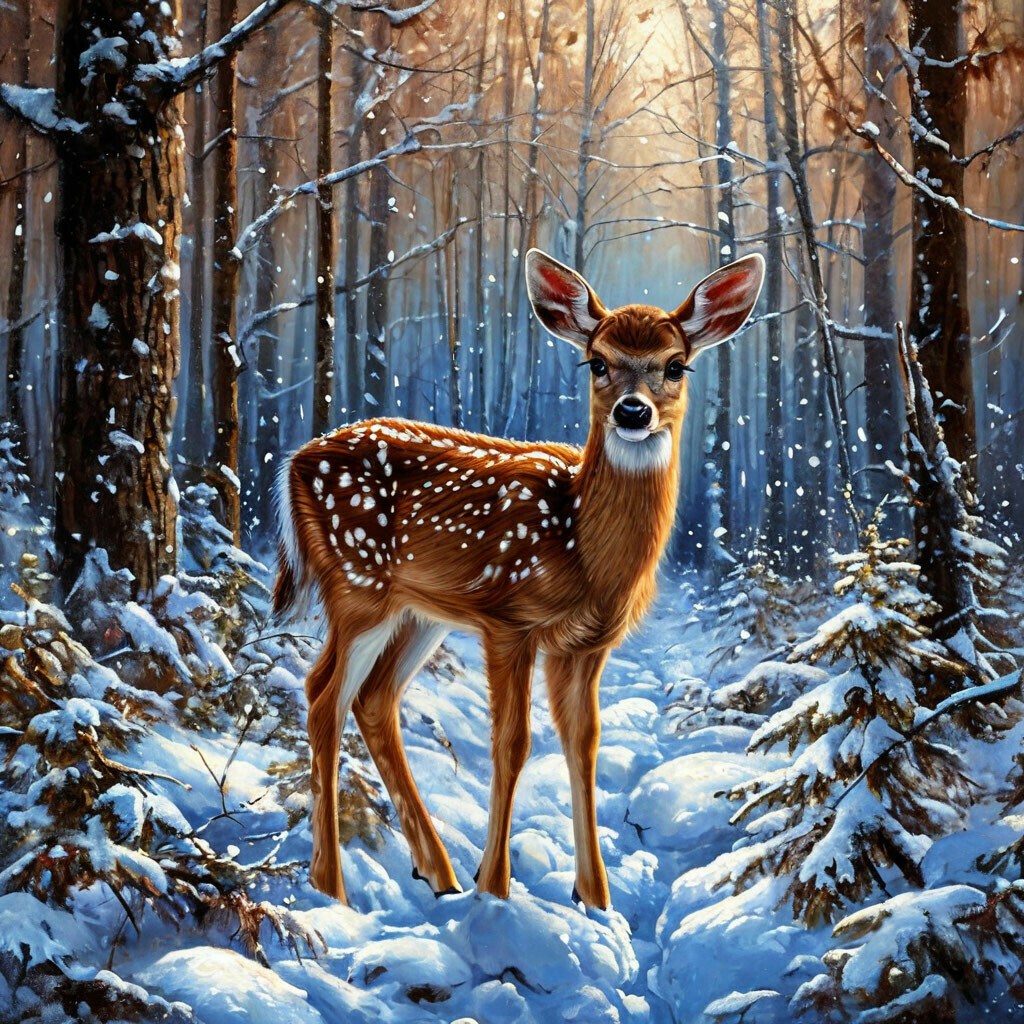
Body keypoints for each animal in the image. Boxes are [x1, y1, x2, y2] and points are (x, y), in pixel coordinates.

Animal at [273, 248, 764, 909]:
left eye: (676, 365)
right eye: (597, 361)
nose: (633, 410)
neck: (582, 545)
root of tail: (293, 462)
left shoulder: (585, 645)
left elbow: (583, 745)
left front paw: (594, 899)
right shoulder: (508, 620)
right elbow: (513, 744)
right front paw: (498, 890)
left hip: (417, 611)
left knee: (373, 700)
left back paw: (439, 874)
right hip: (357, 586)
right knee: (323, 696)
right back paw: (334, 890)